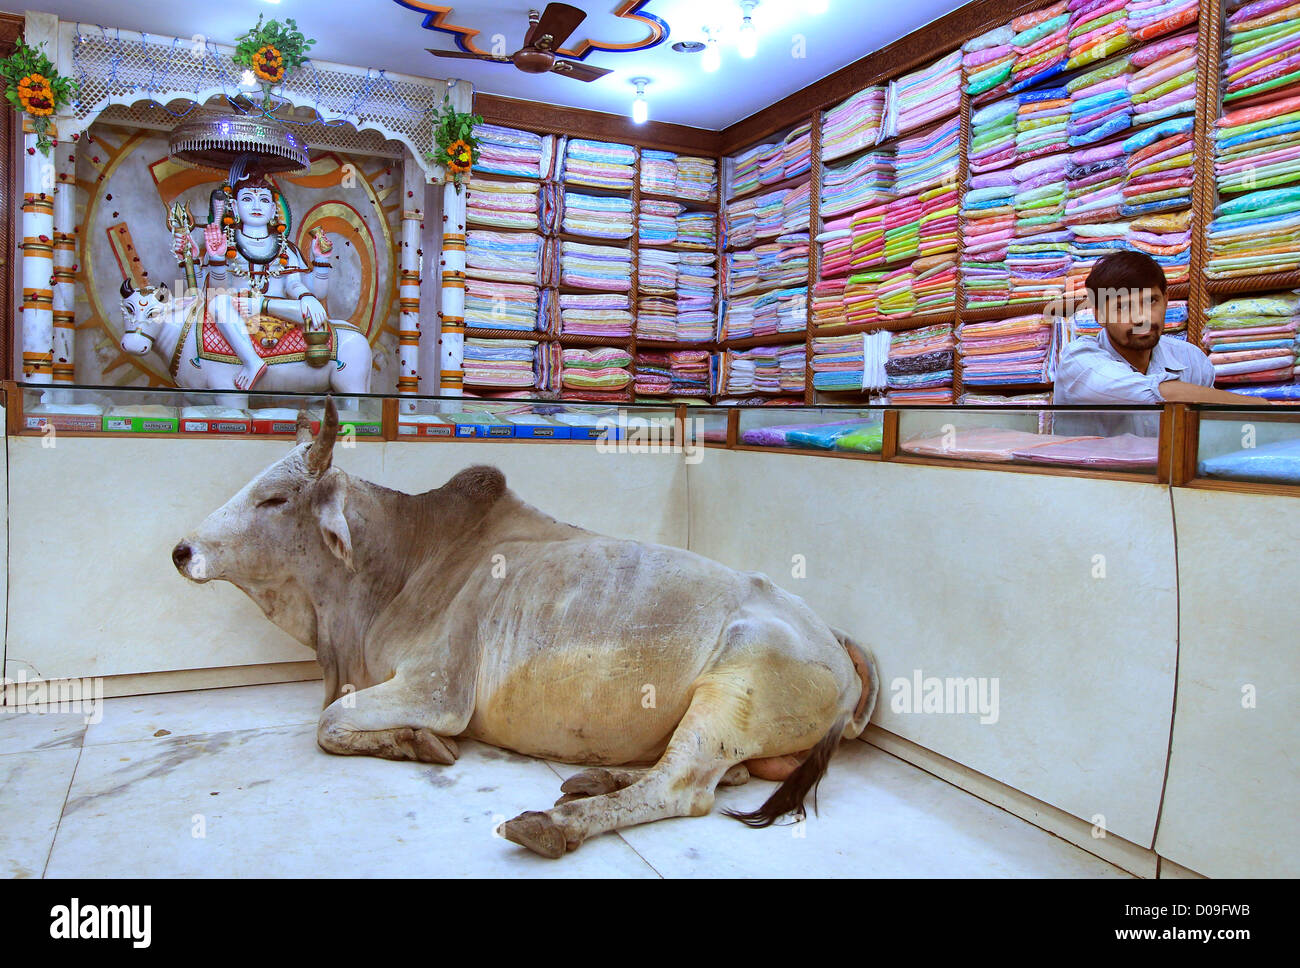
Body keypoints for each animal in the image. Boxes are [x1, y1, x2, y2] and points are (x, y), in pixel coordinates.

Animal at [171, 398, 880, 858]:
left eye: (275, 499)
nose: (183, 551)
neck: (402, 565)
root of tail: (835, 639)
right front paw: (412, 742)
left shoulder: (439, 690)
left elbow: (330, 723)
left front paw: (419, 743)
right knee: (718, 777)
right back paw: (595, 779)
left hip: (728, 695)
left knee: (684, 787)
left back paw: (557, 822)